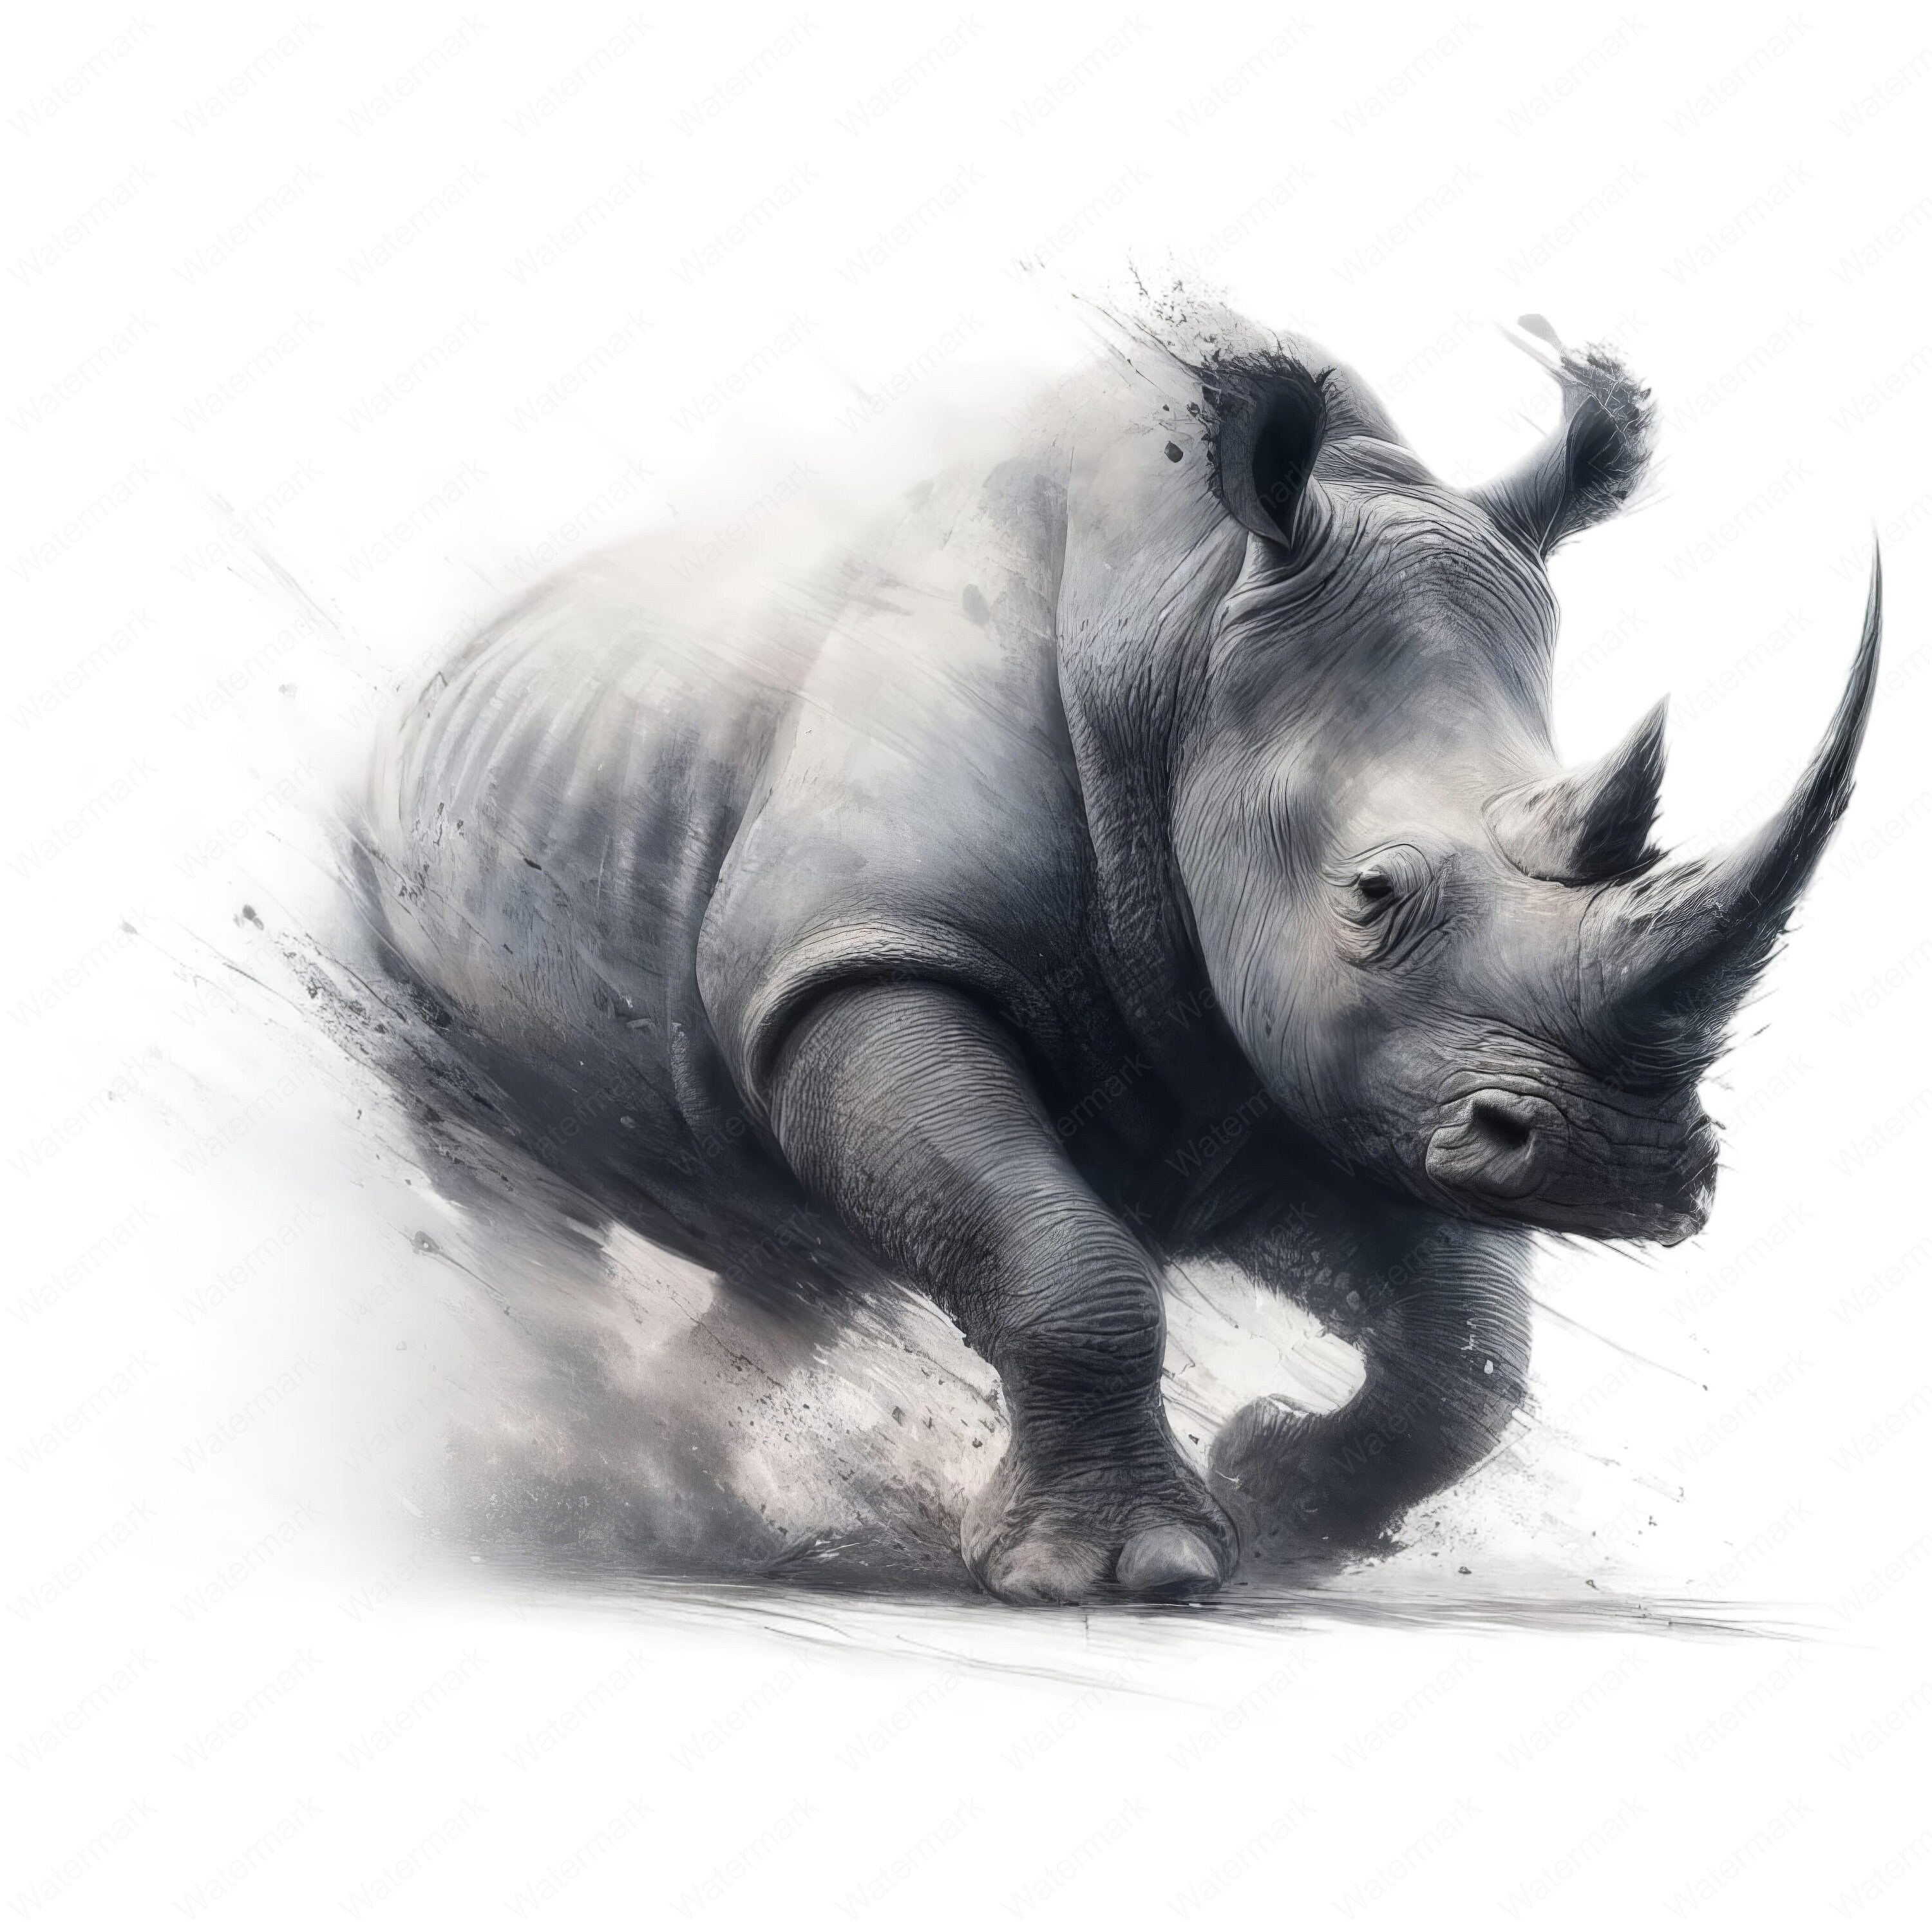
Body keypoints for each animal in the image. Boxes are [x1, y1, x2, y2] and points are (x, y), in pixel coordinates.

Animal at [362, 303, 1880, 1603]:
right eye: (1373, 894)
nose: (1615, 1165)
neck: (1179, 629)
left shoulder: (1327, 1068)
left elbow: (1472, 1352)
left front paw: (1277, 1503)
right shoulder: (864, 955)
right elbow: (1057, 1255)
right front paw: (1124, 1573)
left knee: (787, 1248)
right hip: (383, 869)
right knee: (511, 1179)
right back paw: (579, 1484)